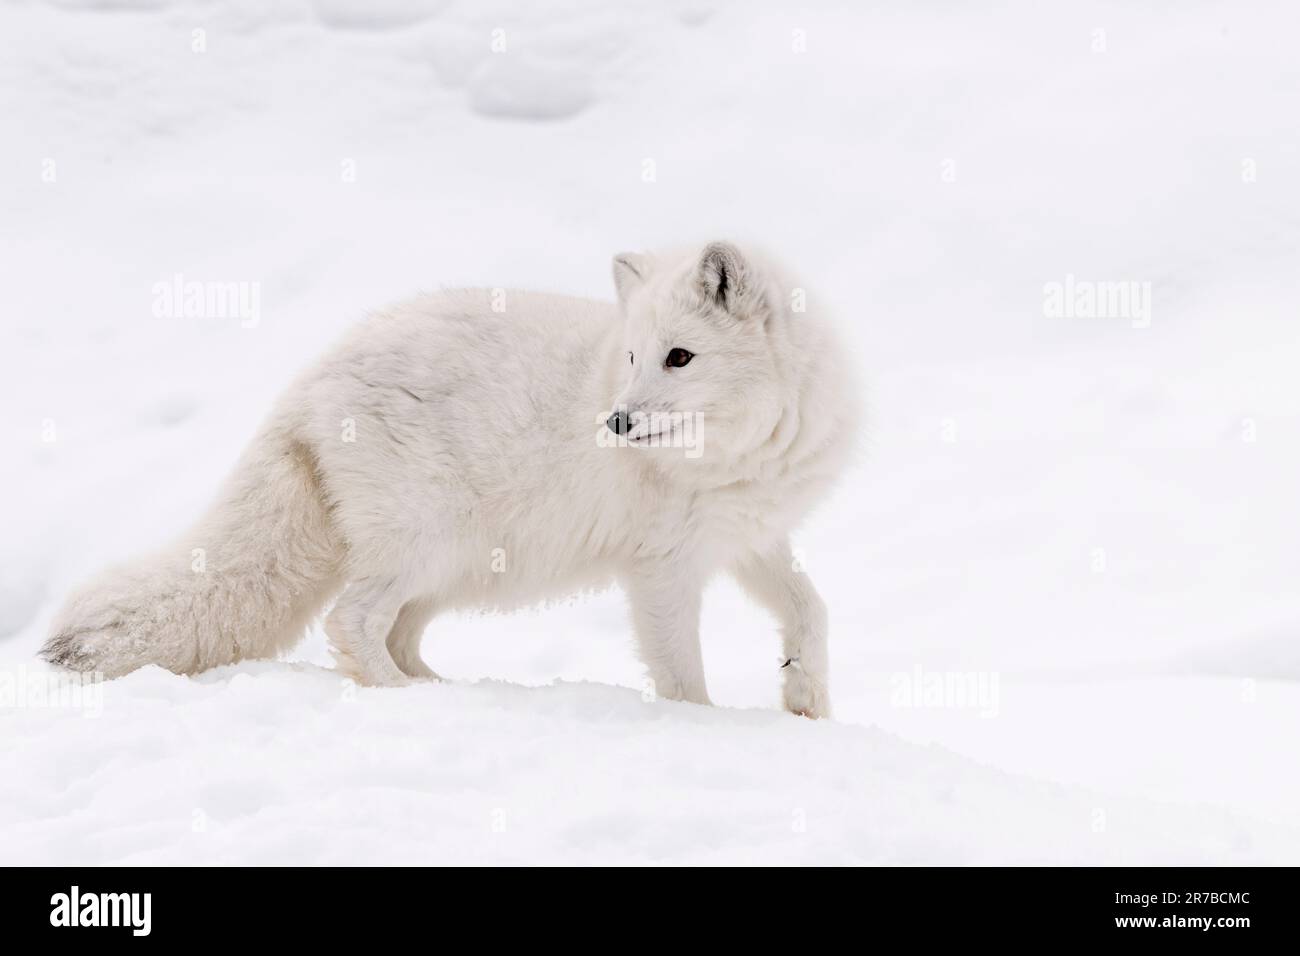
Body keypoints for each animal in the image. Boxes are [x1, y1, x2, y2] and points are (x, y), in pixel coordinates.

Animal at [42, 242, 858, 717]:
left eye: (679, 357)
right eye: (632, 358)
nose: (617, 422)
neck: (739, 453)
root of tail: (309, 383)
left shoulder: (749, 537)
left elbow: (812, 609)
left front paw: (808, 699)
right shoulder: (661, 570)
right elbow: (682, 673)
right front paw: (701, 726)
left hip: (452, 568)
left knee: (398, 632)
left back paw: (444, 689)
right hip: (421, 547)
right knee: (352, 622)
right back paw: (404, 698)